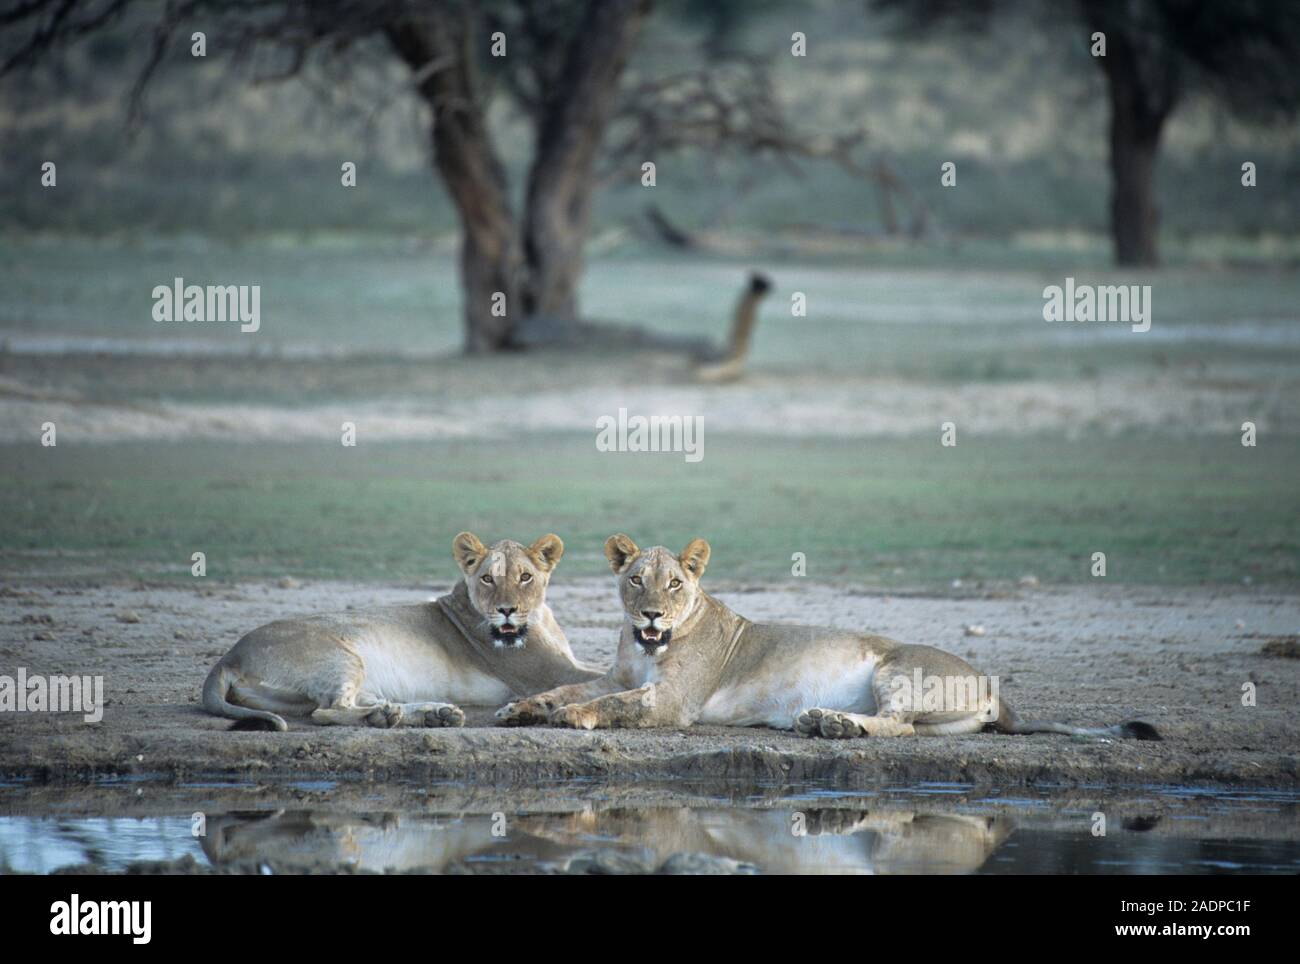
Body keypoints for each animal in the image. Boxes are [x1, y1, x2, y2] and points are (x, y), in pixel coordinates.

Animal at [202, 532, 601, 731]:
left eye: (525, 577)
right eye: (488, 578)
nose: (506, 610)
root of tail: (228, 656)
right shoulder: (550, 674)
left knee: (348, 703)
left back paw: (431, 714)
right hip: (340, 657)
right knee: (328, 712)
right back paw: (386, 718)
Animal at [496, 534, 1161, 741]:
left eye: (675, 584)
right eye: (636, 580)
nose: (653, 615)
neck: (645, 646)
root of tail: (993, 685)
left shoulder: (673, 702)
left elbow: (609, 704)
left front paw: (573, 718)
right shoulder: (617, 673)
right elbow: (572, 688)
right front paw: (522, 708)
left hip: (896, 667)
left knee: (896, 726)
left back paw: (833, 724)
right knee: (910, 729)